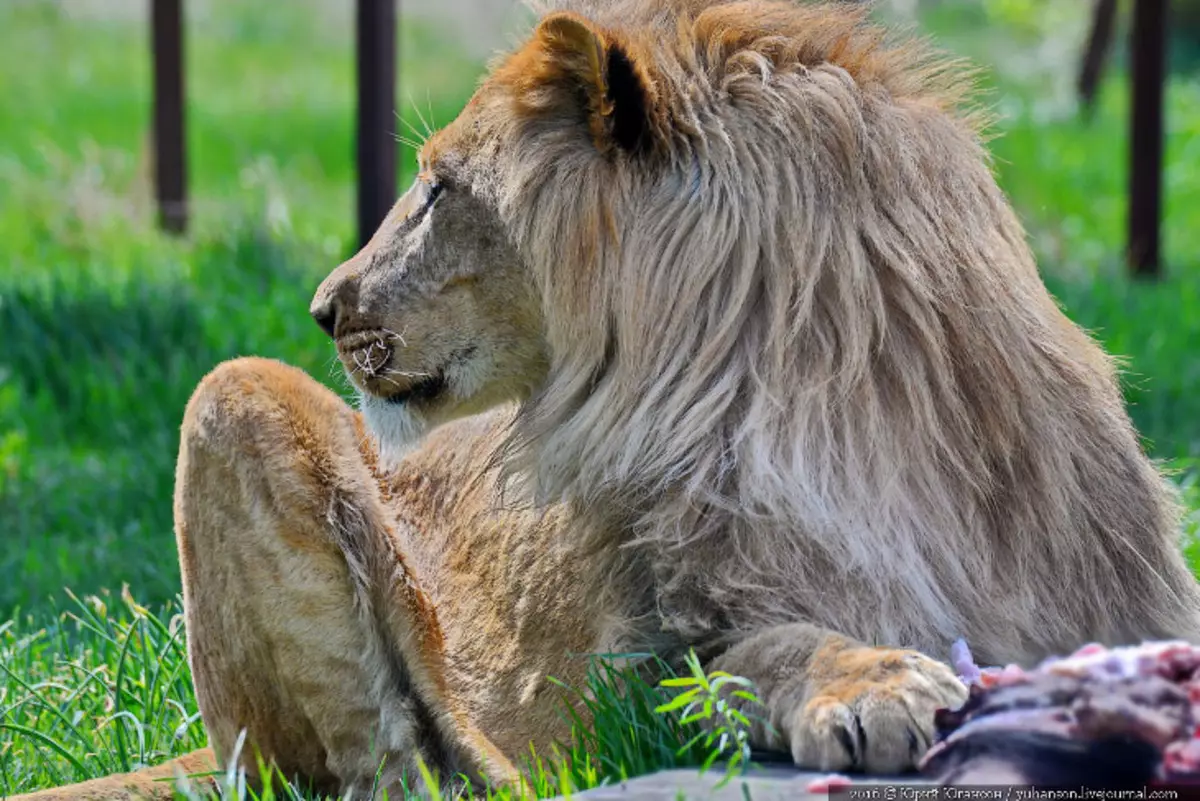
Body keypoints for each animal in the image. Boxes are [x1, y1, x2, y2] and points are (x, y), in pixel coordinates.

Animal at [16, 0, 1200, 796]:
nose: (321, 305)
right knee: (369, 768)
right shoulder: (645, 665)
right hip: (236, 396)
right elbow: (768, 647)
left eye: (440, 187)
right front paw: (868, 682)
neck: (837, 409)